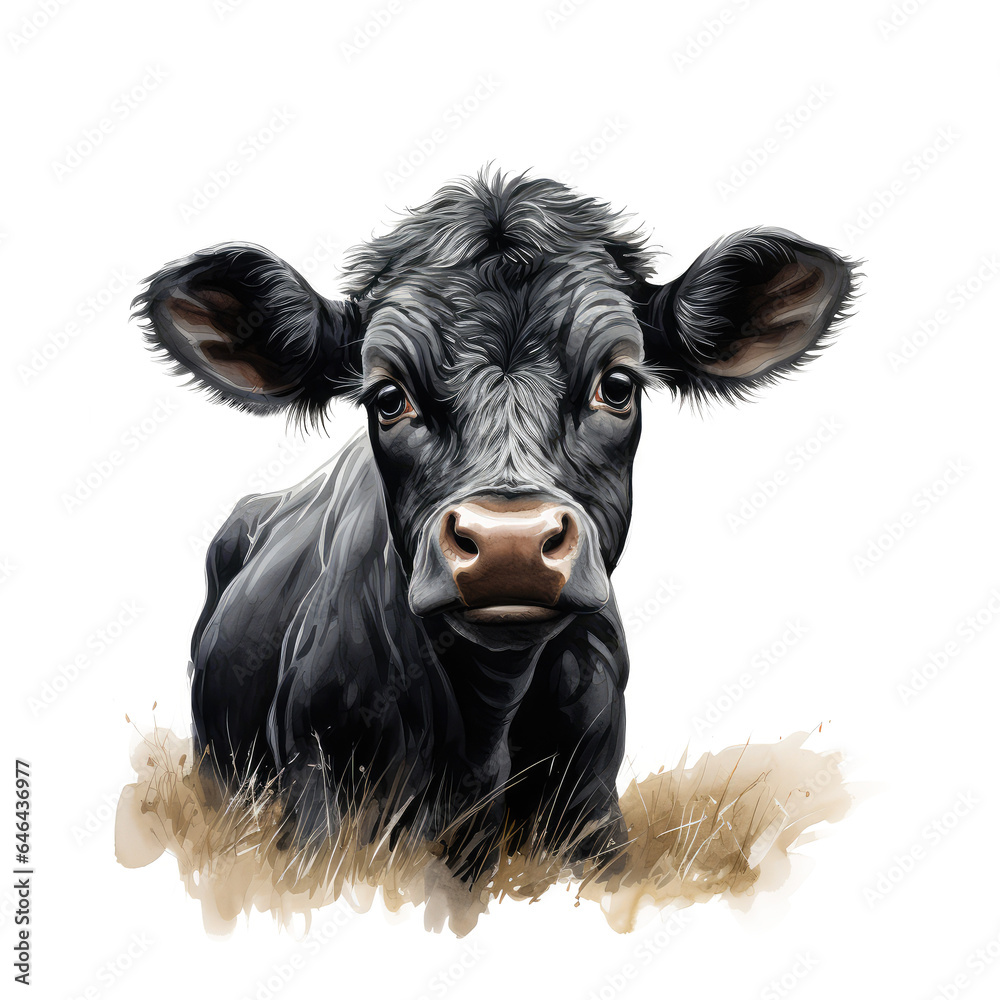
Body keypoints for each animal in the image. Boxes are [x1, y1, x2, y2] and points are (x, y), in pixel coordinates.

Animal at [134, 169, 856, 880]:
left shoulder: (593, 809)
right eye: (388, 397)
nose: (511, 544)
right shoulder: (316, 799)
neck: (488, 718)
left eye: (618, 385)